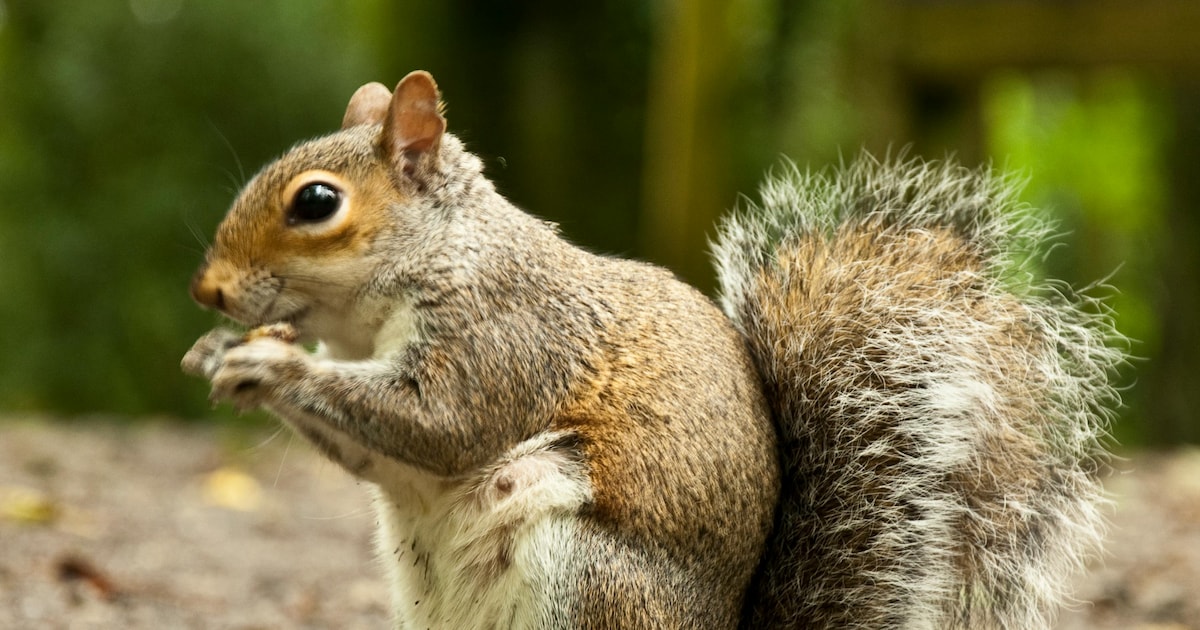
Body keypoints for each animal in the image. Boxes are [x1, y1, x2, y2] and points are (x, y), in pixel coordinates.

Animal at [182, 71, 1124, 629]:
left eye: (315, 203)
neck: (445, 254)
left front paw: (273, 364)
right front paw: (219, 353)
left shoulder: (507, 336)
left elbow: (441, 426)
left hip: (584, 579)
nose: (208, 290)